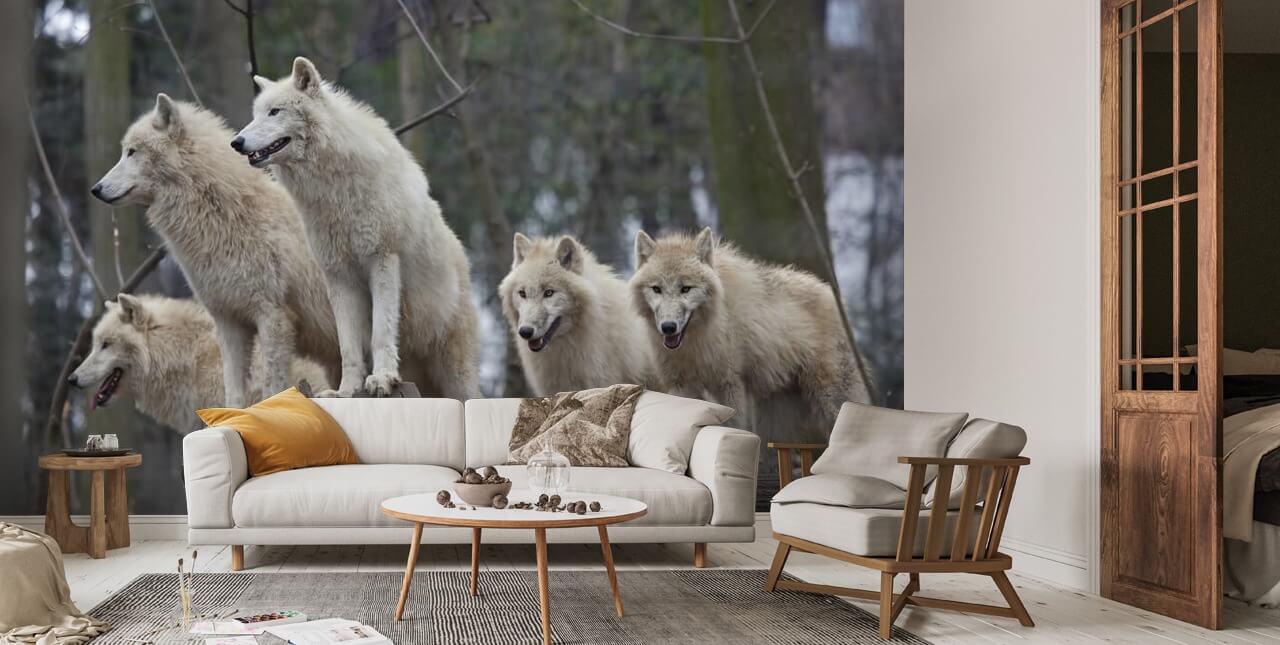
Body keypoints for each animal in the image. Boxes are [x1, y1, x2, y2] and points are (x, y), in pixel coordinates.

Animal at [90, 94, 340, 408]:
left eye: (131, 152)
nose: (96, 189)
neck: (225, 217)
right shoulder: (228, 321)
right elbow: (232, 392)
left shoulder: (272, 317)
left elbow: (272, 388)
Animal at [231, 57, 479, 399]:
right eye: (255, 114)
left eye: (275, 112)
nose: (236, 142)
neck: (333, 192)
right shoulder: (338, 274)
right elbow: (348, 345)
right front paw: (346, 391)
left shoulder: (382, 259)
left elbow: (381, 333)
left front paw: (382, 378)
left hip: (455, 372)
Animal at [630, 227, 871, 425]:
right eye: (657, 289)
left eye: (685, 289)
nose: (668, 327)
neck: (696, 343)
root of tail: (831, 294)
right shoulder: (680, 385)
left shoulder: (730, 384)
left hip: (830, 399)